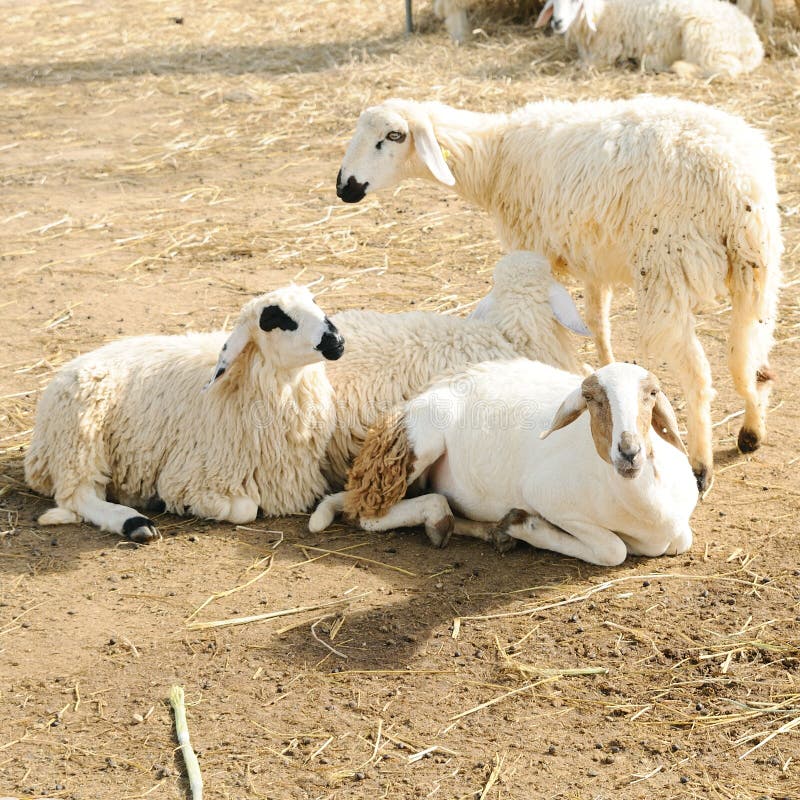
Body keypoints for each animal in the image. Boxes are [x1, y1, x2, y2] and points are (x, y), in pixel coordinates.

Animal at [24, 286, 345, 543]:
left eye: (314, 301)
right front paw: (187, 505)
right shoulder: (189, 474)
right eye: (274, 319)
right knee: (79, 494)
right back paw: (135, 522)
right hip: (79, 438)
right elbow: (246, 510)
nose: (335, 340)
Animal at [310, 360, 698, 566]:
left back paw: (485, 531)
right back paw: (441, 519)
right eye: (590, 399)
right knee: (366, 513)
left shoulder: (679, 528)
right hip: (418, 442)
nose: (629, 451)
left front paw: (509, 529)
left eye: (652, 395)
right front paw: (524, 526)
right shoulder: (547, 496)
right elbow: (613, 550)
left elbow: (682, 539)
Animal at [535, 0, 764, 78]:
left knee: (726, 68)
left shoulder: (604, 52)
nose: (557, 22)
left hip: (701, 35)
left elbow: (580, 65)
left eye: (575, 1)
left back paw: (677, 67)